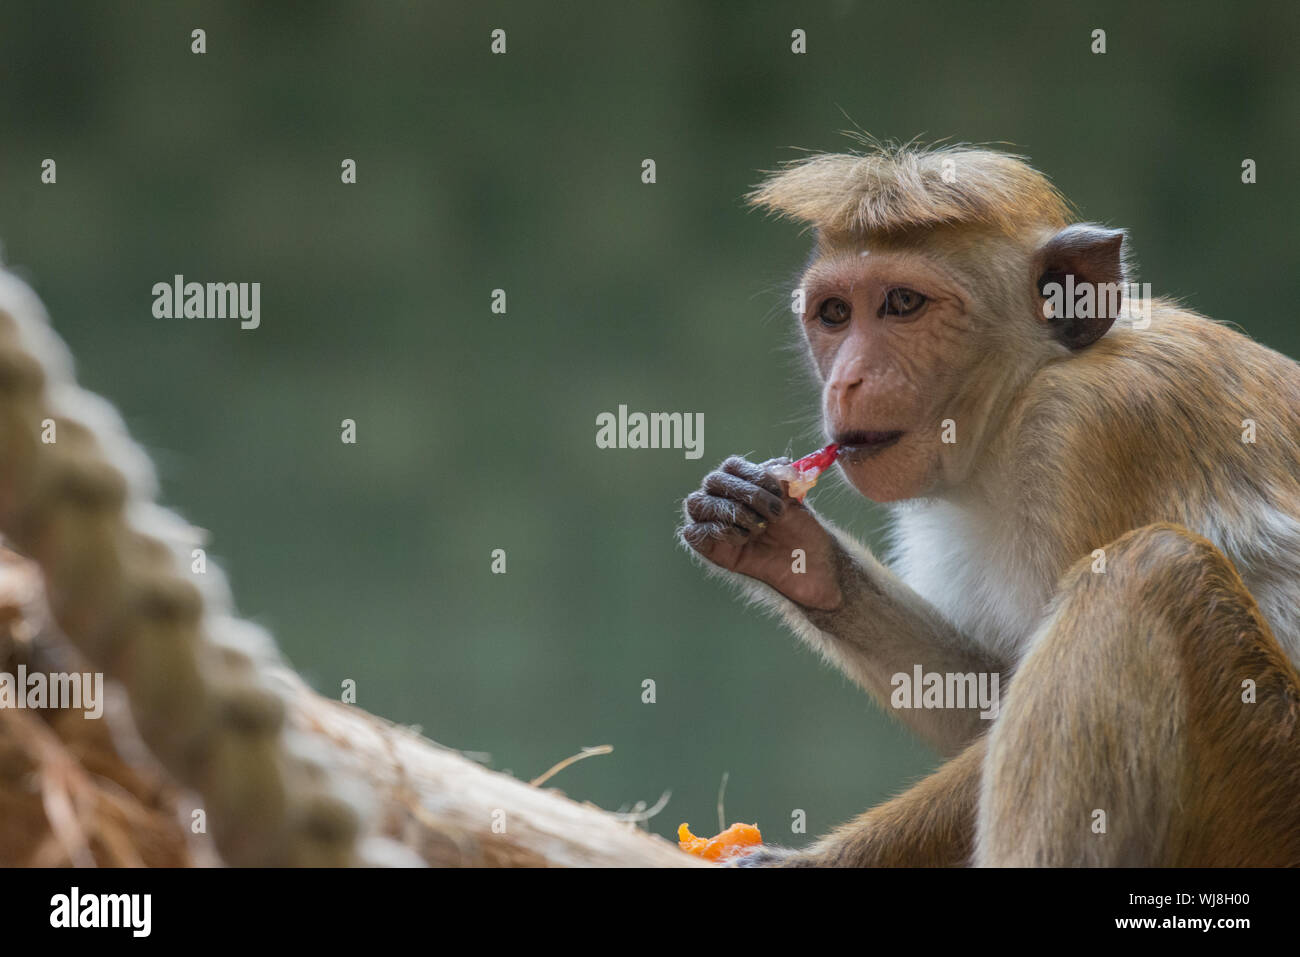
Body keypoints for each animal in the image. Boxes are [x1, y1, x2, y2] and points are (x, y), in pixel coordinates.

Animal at [680, 141, 1300, 866]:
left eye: (902, 303)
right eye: (834, 314)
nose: (845, 381)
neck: (1016, 402)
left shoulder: (1091, 427)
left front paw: (803, 863)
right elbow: (986, 695)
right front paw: (783, 545)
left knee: (1149, 569)